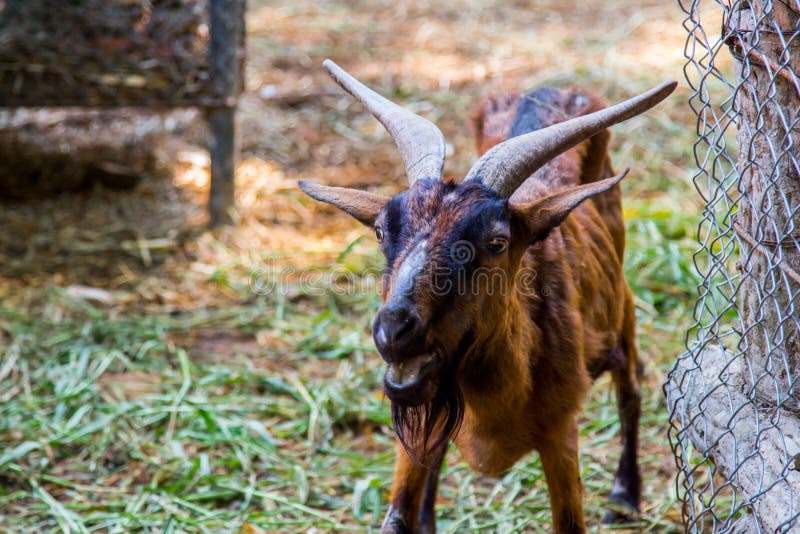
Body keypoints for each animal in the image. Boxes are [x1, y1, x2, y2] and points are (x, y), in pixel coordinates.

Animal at [300, 60, 675, 533]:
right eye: (382, 231)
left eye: (497, 242)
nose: (394, 331)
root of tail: (546, 92)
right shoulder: (413, 427)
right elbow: (398, 517)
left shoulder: (560, 432)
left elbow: (570, 523)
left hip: (621, 308)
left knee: (631, 384)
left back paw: (624, 498)